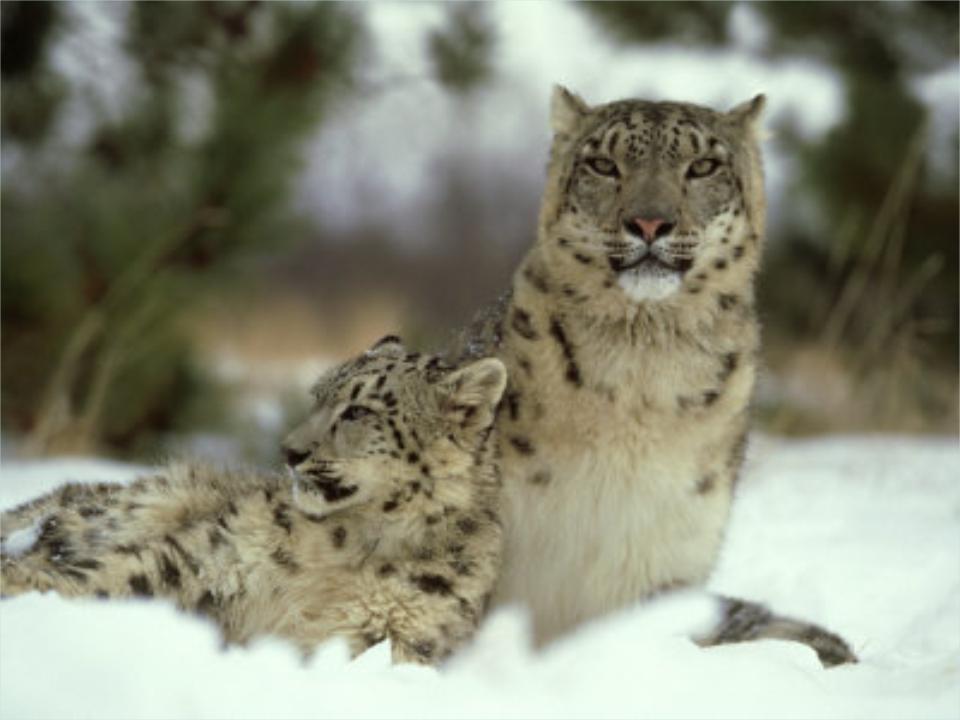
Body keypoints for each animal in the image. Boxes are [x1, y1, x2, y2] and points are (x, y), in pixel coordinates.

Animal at [0, 336, 508, 665]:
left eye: (359, 411)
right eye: (316, 397)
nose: (289, 450)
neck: (356, 543)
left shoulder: (396, 634)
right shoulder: (216, 555)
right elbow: (112, 575)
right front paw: (22, 587)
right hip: (135, 504)